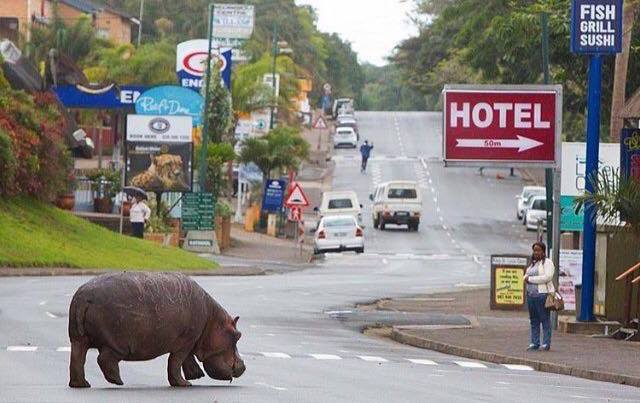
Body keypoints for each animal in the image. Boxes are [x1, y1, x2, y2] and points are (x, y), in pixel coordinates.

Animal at [67, 272, 245, 388]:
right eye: (237, 336)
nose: (243, 366)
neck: (212, 320)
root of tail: (84, 297)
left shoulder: (191, 340)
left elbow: (187, 360)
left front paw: (195, 376)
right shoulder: (186, 341)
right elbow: (176, 361)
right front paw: (185, 383)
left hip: (77, 339)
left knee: (77, 359)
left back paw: (82, 385)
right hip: (117, 344)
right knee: (104, 359)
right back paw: (118, 382)